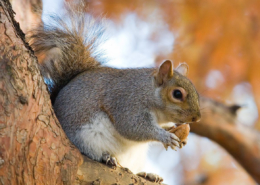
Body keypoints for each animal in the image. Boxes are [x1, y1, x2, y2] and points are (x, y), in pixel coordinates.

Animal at [27, 8, 201, 182]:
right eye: (177, 94)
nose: (197, 118)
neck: (148, 93)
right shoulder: (127, 102)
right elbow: (132, 127)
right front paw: (164, 136)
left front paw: (175, 132)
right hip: (85, 138)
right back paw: (107, 157)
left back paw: (147, 174)